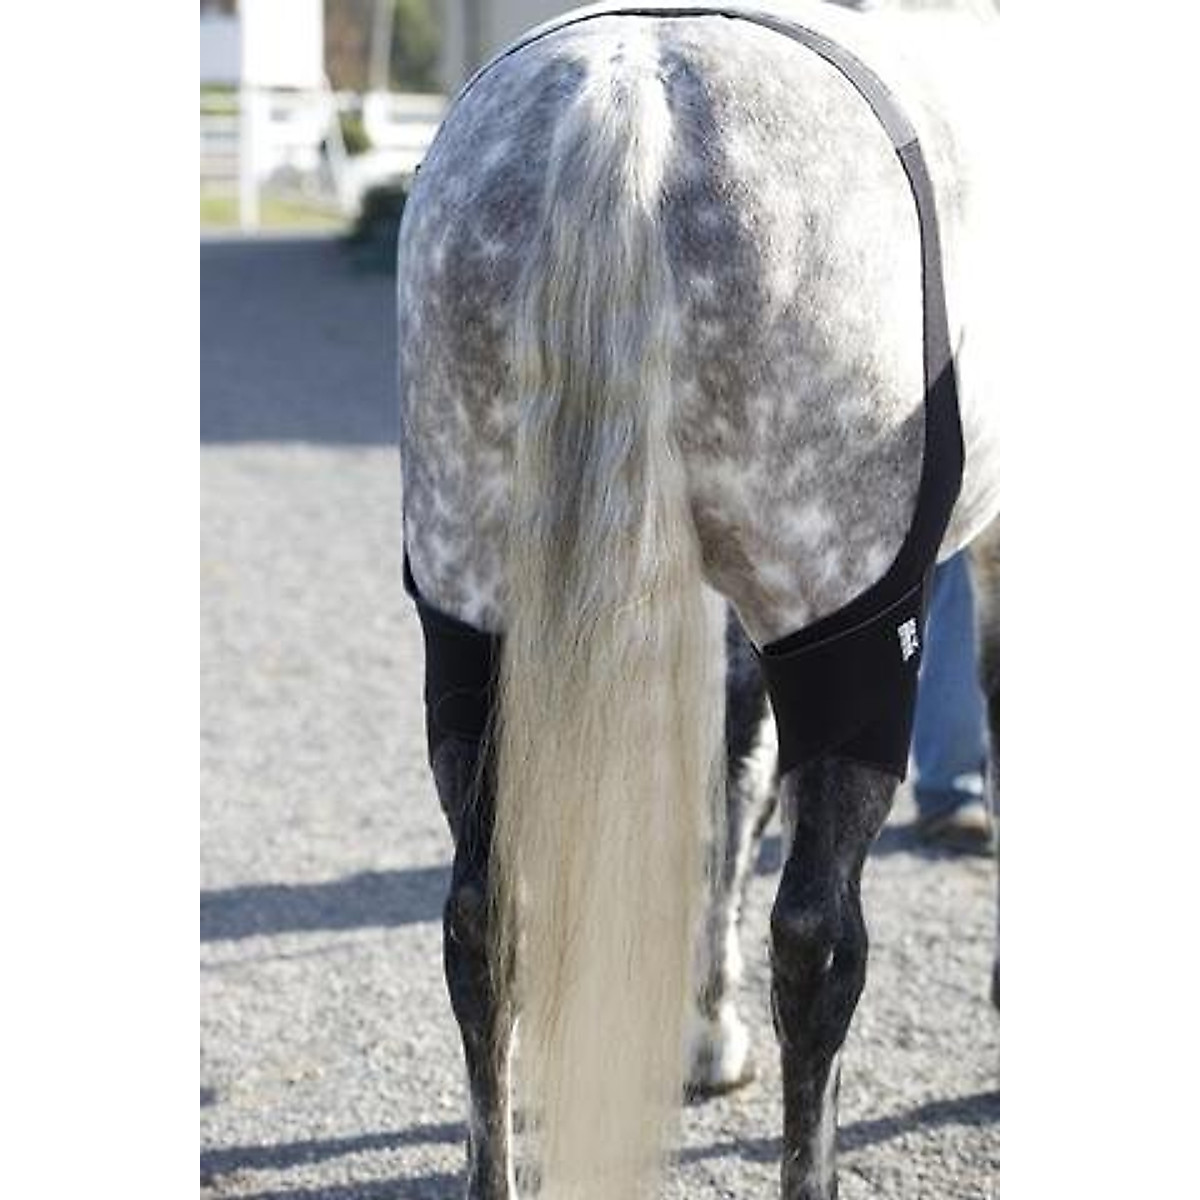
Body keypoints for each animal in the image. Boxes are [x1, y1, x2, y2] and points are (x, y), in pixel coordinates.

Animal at [395, 3, 998, 1197]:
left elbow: (733, 783)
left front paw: (706, 1032)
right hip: (855, 633)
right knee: (819, 941)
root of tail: (630, 98)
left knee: (484, 920)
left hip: (470, 627)